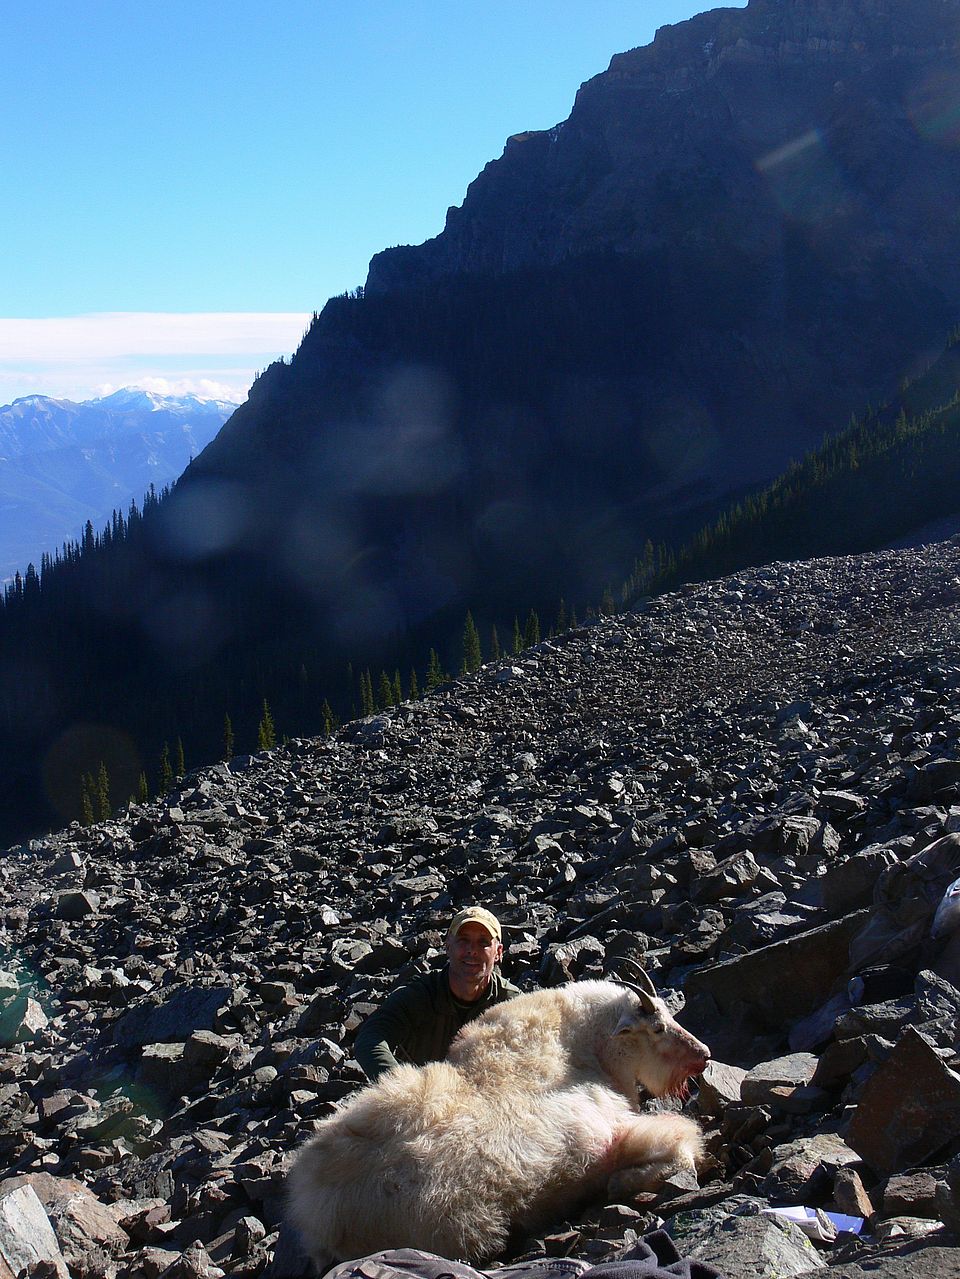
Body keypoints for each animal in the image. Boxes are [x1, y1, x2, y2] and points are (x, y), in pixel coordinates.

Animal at [287, 975, 710, 1268]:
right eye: (657, 1027)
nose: (703, 1054)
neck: (584, 1052)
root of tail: (315, 1212)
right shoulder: (607, 1136)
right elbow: (684, 1148)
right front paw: (620, 1183)